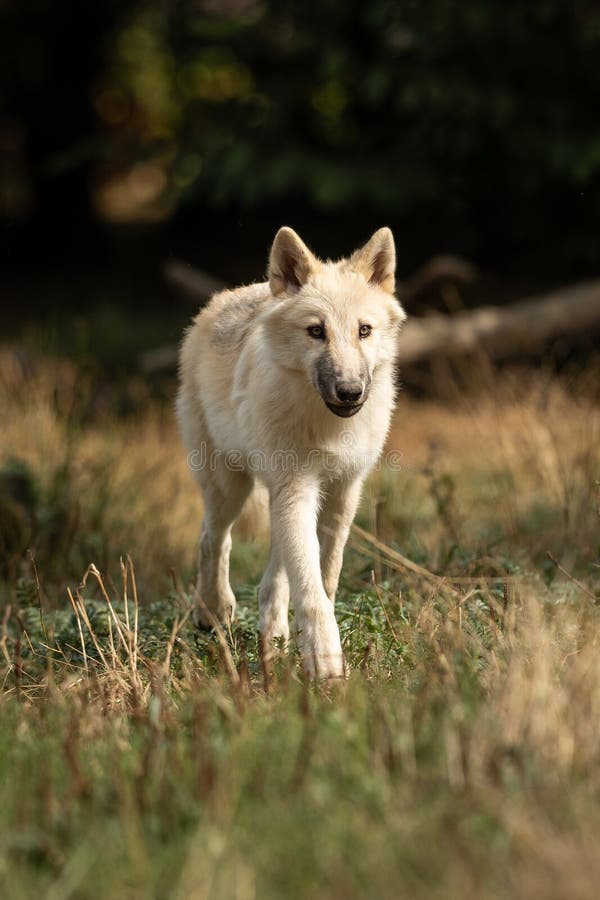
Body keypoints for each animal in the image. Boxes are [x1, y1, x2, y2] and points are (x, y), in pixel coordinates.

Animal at [177, 226, 406, 679]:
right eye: (316, 331)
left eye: (364, 330)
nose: (350, 391)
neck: (327, 426)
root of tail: (222, 299)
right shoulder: (296, 488)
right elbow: (309, 585)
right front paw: (325, 662)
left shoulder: (343, 491)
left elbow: (325, 574)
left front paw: (307, 648)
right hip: (230, 488)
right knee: (213, 538)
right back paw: (213, 610)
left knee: (271, 574)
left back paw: (274, 637)